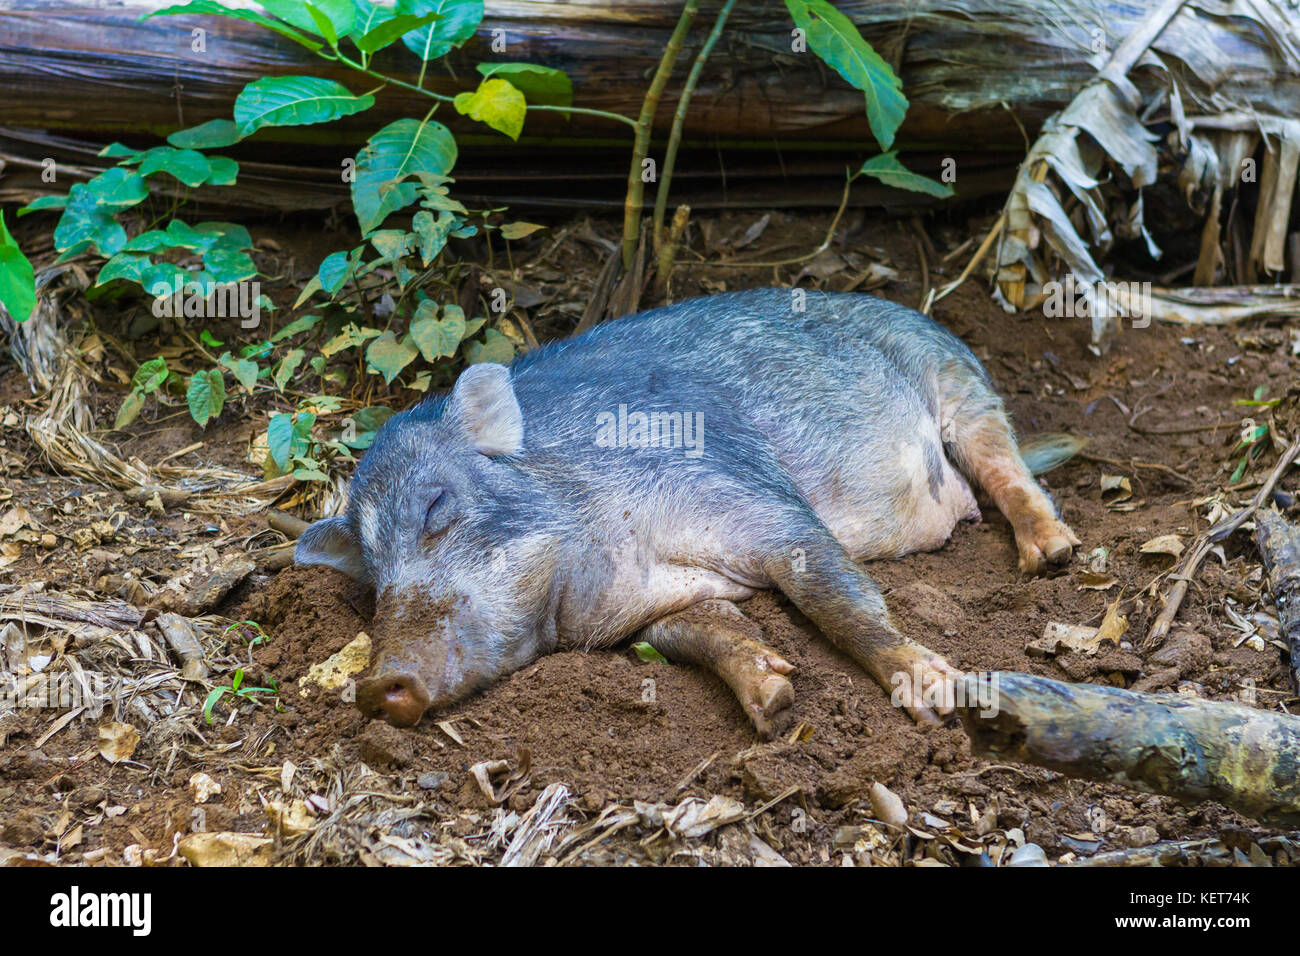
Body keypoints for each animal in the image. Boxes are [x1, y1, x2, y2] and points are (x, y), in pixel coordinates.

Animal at [296, 289, 1079, 736]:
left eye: (436, 506)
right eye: (374, 575)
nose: (375, 687)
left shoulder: (757, 502)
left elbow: (835, 597)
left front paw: (937, 697)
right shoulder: (658, 606)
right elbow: (710, 632)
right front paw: (774, 698)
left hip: (956, 378)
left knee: (1005, 464)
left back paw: (1052, 555)